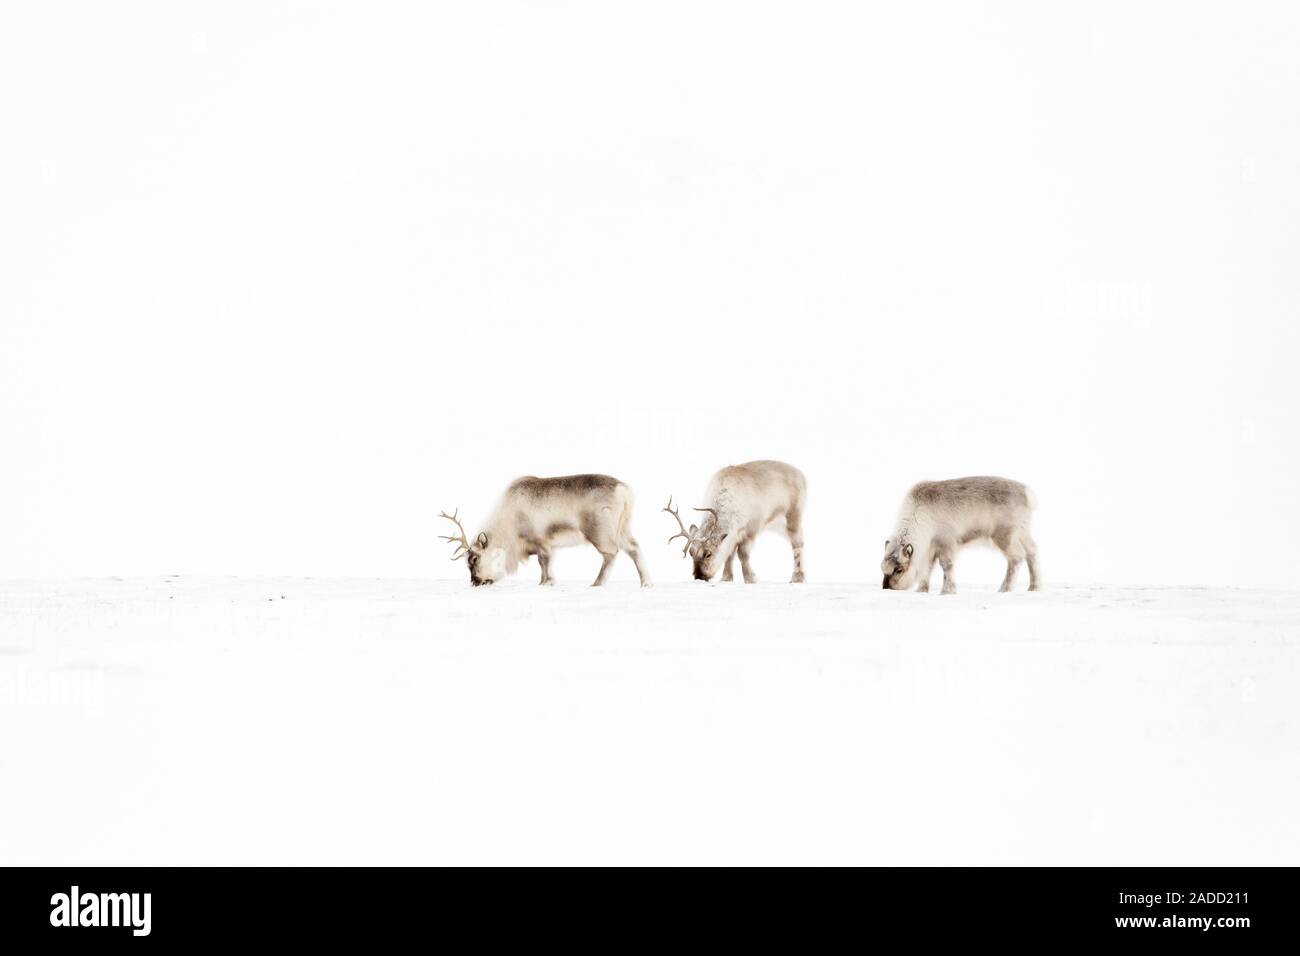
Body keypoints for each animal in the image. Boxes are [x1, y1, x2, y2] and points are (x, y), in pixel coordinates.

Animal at [440, 474, 651, 587]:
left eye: (475, 558)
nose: (475, 582)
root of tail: (624, 490)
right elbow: (541, 565)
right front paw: (543, 581)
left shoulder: (541, 541)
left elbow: (545, 562)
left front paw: (547, 582)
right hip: (622, 528)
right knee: (634, 548)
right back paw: (646, 583)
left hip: (601, 532)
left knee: (611, 553)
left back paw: (596, 584)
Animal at [663, 460, 807, 583]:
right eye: (691, 553)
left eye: (708, 554)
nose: (699, 577)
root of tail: (802, 476)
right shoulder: (732, 535)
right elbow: (729, 554)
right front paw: (726, 578)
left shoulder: (751, 528)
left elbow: (742, 554)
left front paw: (751, 578)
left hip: (793, 516)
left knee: (798, 544)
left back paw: (798, 577)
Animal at [880, 476, 1040, 594]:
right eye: (882, 568)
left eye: (899, 570)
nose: (887, 588)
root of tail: (1028, 494)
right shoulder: (930, 548)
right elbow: (927, 569)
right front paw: (921, 590)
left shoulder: (946, 542)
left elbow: (946, 566)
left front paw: (947, 591)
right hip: (1023, 532)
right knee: (1032, 551)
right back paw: (1034, 587)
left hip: (1005, 536)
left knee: (1017, 557)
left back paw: (1004, 589)